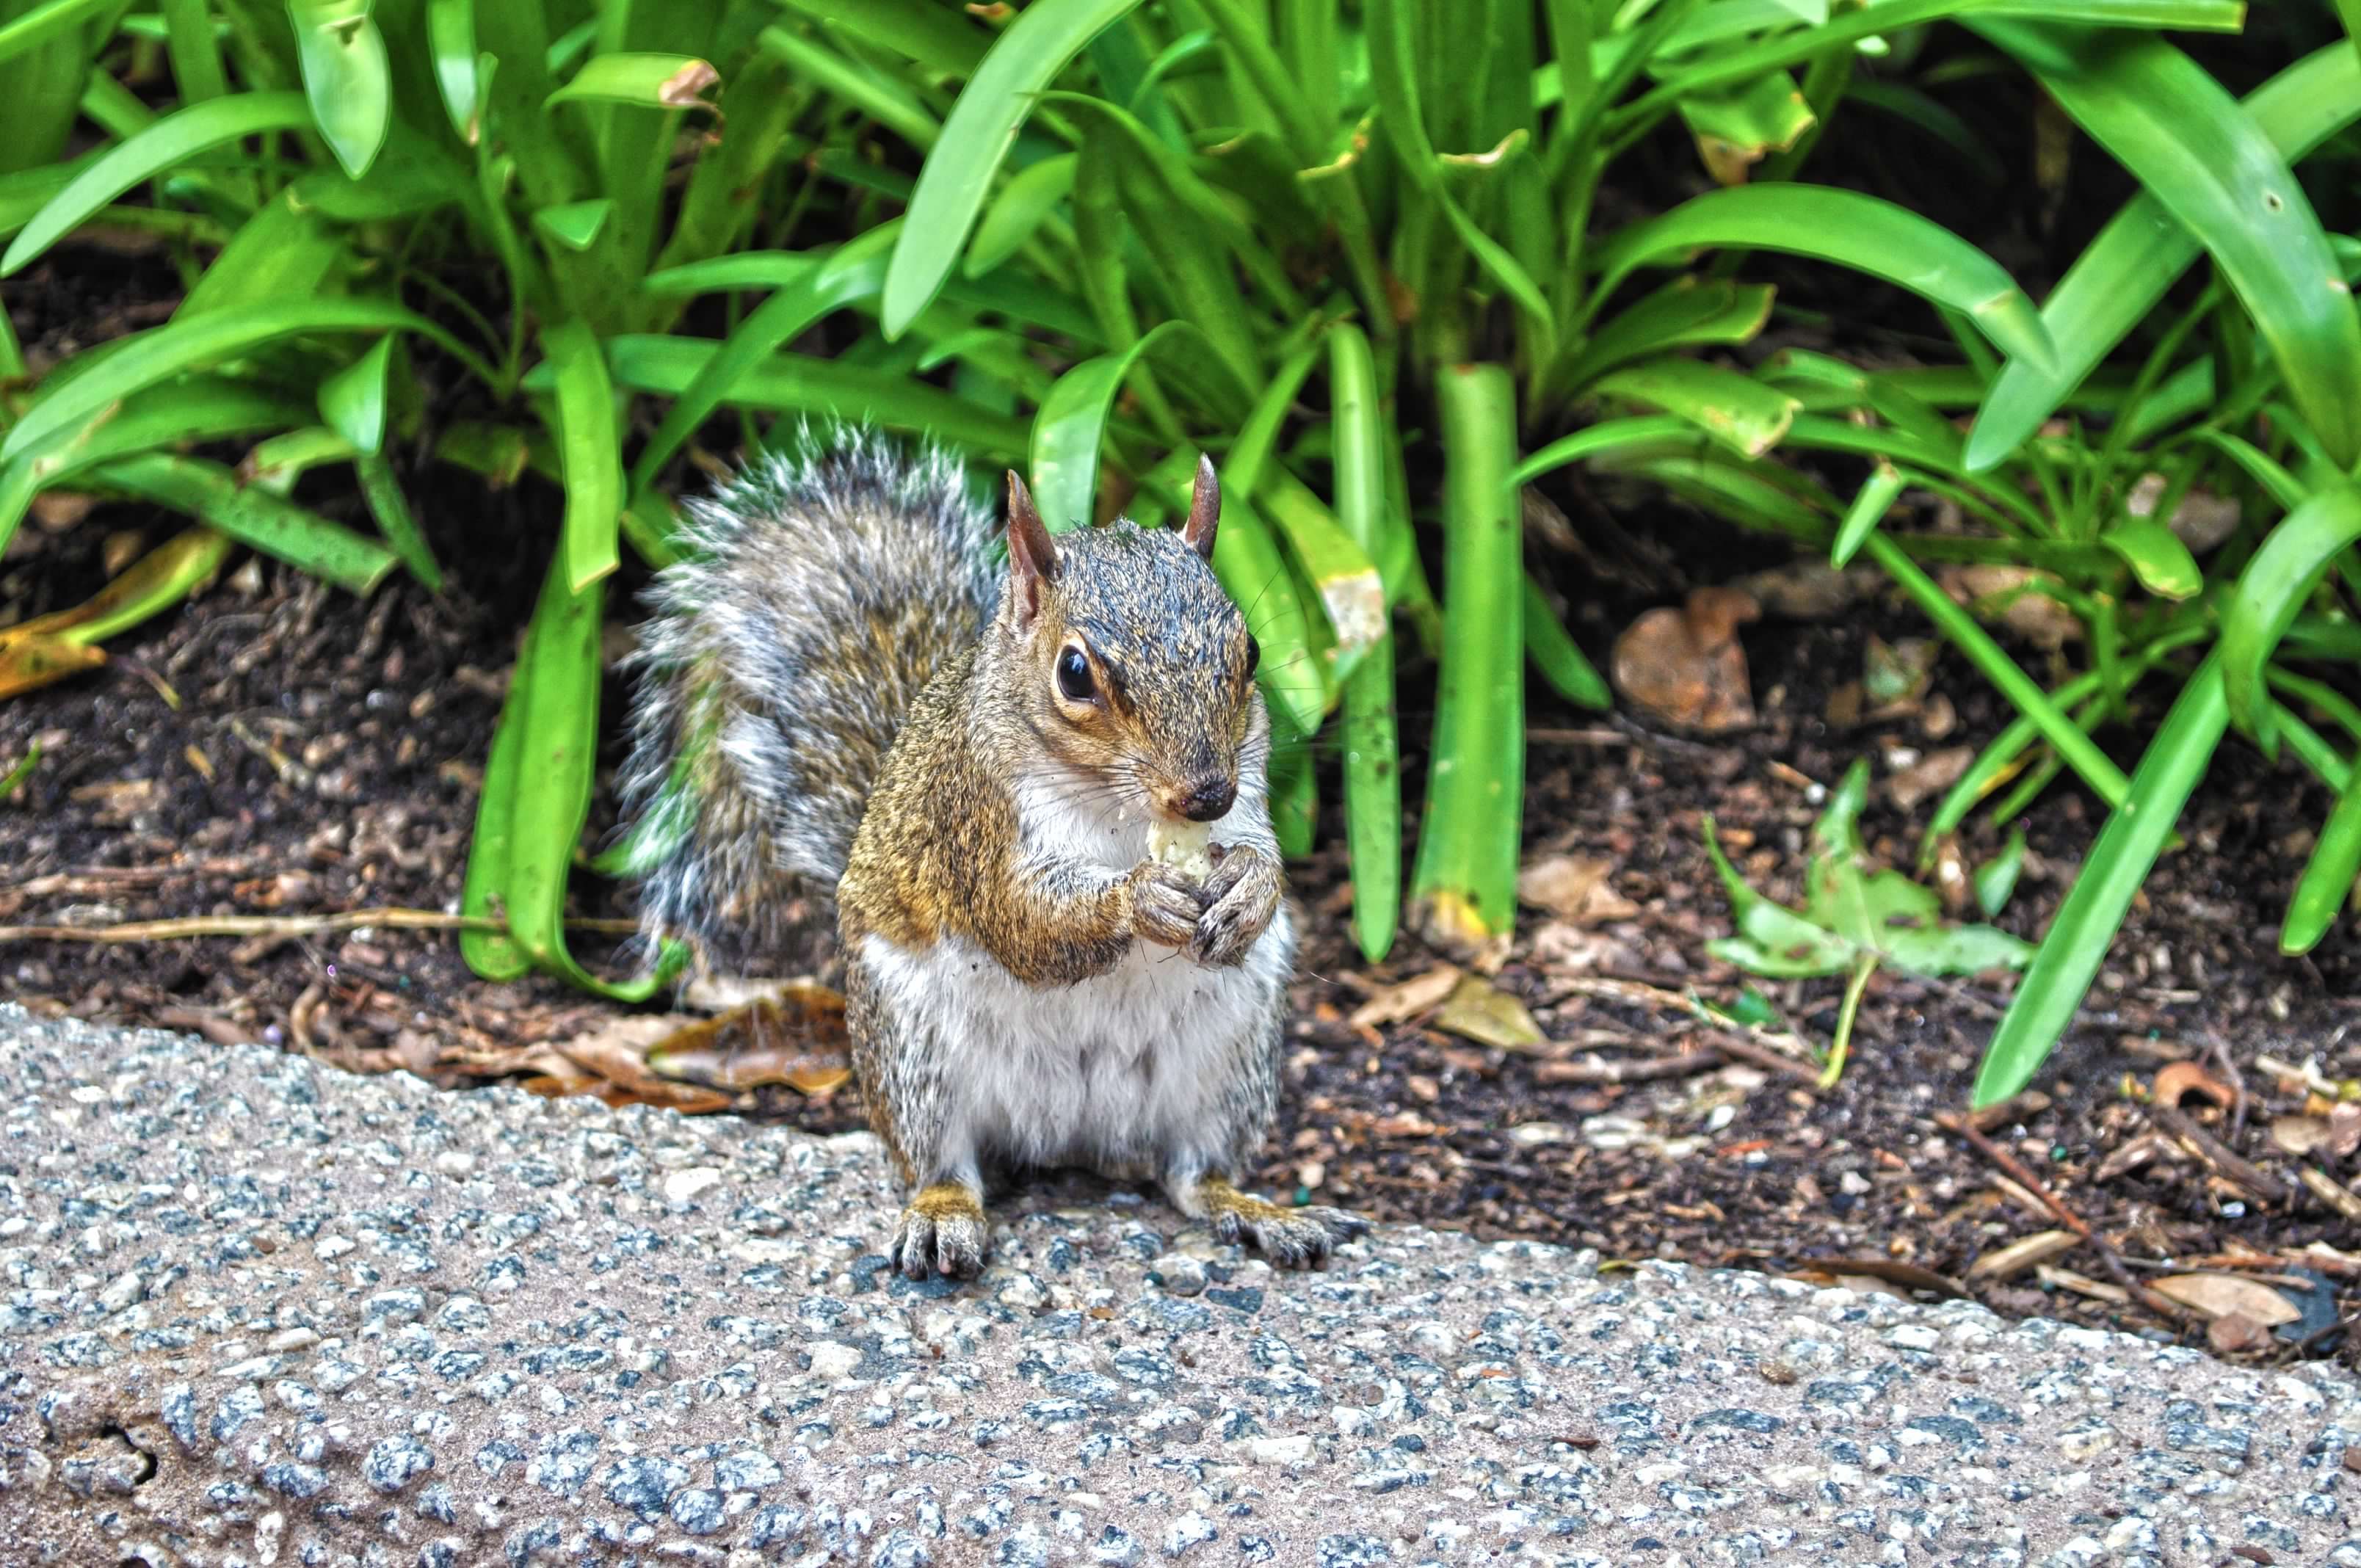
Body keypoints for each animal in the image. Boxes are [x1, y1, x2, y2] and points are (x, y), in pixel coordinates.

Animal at [620, 427, 1366, 1279]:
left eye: (1252, 651)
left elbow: (1261, 853)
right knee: (941, 1163)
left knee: (1190, 1175)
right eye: (1074, 673)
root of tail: (1070, 1136)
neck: (1117, 811)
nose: (1204, 795)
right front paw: (1139, 898)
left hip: (1229, 1061)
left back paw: (1254, 1210)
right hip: (913, 1055)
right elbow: (1023, 919)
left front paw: (1248, 890)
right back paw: (943, 1213)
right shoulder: (973, 817)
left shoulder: (1250, 782)